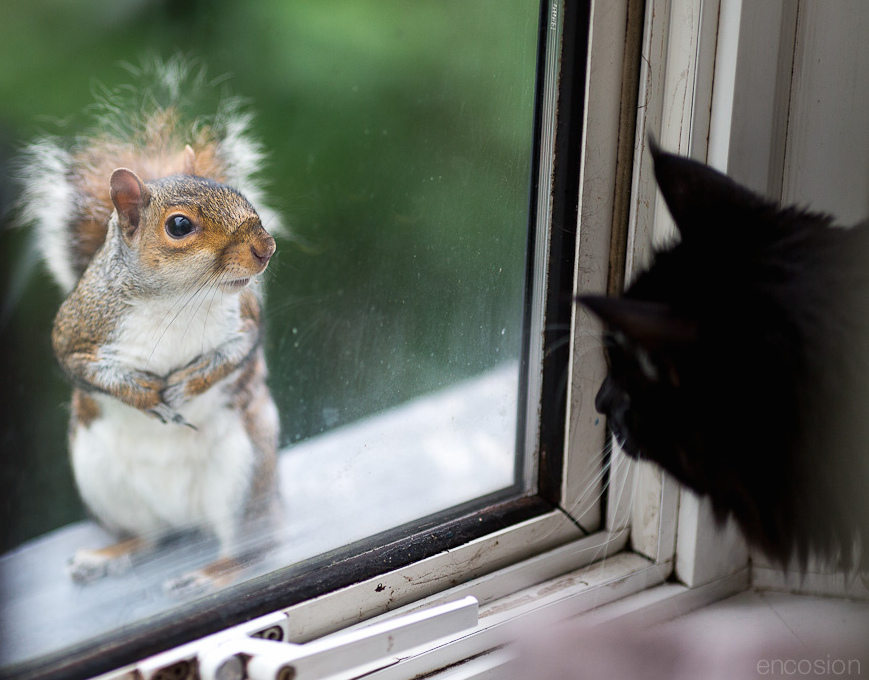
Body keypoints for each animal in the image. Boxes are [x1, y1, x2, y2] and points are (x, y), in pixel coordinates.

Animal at [18, 58, 283, 595]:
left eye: (240, 195)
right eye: (179, 226)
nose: (265, 249)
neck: (176, 301)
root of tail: (184, 517)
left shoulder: (243, 320)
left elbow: (238, 352)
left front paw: (187, 384)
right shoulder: (78, 330)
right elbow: (80, 368)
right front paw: (142, 394)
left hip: (245, 471)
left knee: (246, 542)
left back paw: (213, 572)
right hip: (101, 479)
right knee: (147, 538)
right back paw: (106, 555)